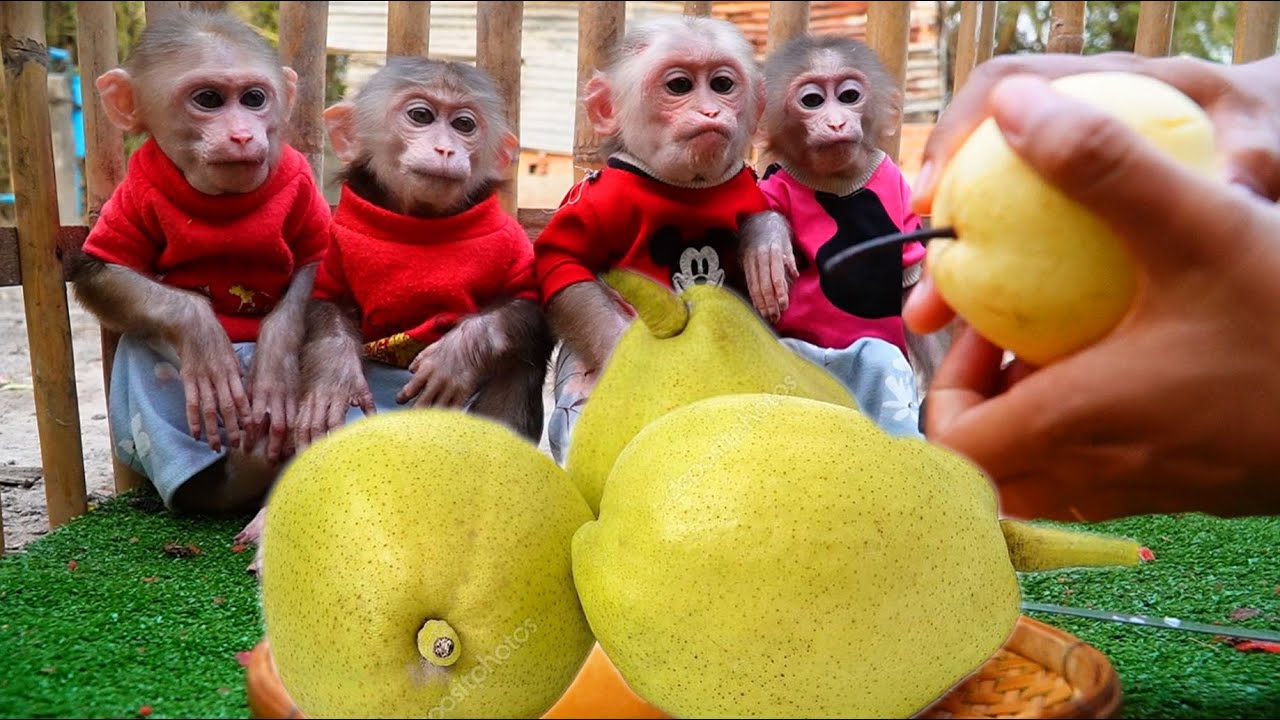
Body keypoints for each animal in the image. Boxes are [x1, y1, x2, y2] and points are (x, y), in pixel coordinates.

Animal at [69, 10, 331, 539]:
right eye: (208, 100)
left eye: (254, 99)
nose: (242, 134)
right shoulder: (136, 183)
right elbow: (101, 270)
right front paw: (203, 334)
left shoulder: (299, 176)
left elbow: (314, 262)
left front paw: (275, 359)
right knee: (145, 352)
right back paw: (240, 474)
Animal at [291, 56, 553, 455]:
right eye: (421, 116)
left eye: (464, 125)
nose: (445, 149)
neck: (419, 221)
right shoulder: (336, 242)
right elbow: (328, 302)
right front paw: (332, 375)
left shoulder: (511, 239)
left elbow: (531, 304)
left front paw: (457, 355)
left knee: (519, 364)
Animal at [533, 15, 791, 464]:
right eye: (679, 86)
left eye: (722, 84)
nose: (710, 109)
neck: (679, 185)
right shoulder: (601, 197)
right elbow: (562, 260)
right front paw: (621, 351)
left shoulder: (741, 178)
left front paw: (766, 246)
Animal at [745, 33, 936, 438]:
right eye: (812, 101)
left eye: (849, 96)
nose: (836, 122)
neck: (837, 184)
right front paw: (767, 241)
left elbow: (911, 287)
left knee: (883, 361)